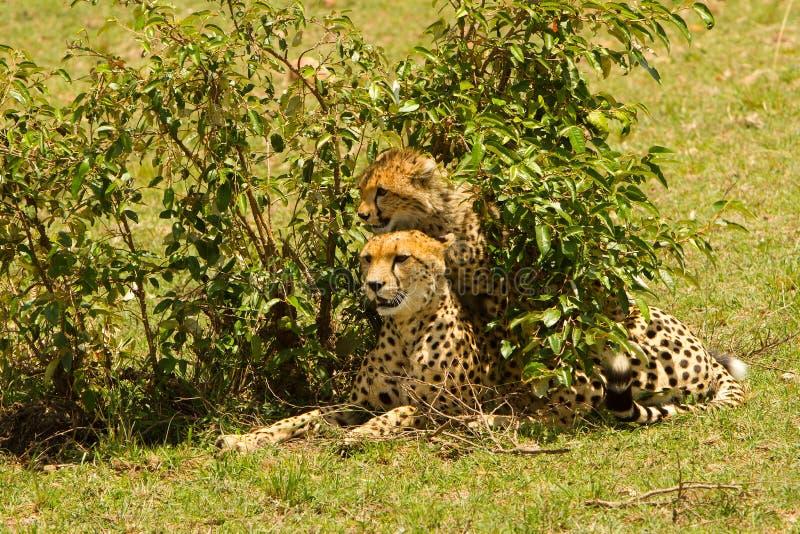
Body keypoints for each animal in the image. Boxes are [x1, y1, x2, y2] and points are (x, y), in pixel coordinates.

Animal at [355, 147, 748, 427]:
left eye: (382, 191)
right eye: (363, 190)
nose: (361, 215)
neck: (432, 216)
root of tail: (705, 357)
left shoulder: (493, 293)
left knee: (570, 411)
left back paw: (494, 420)